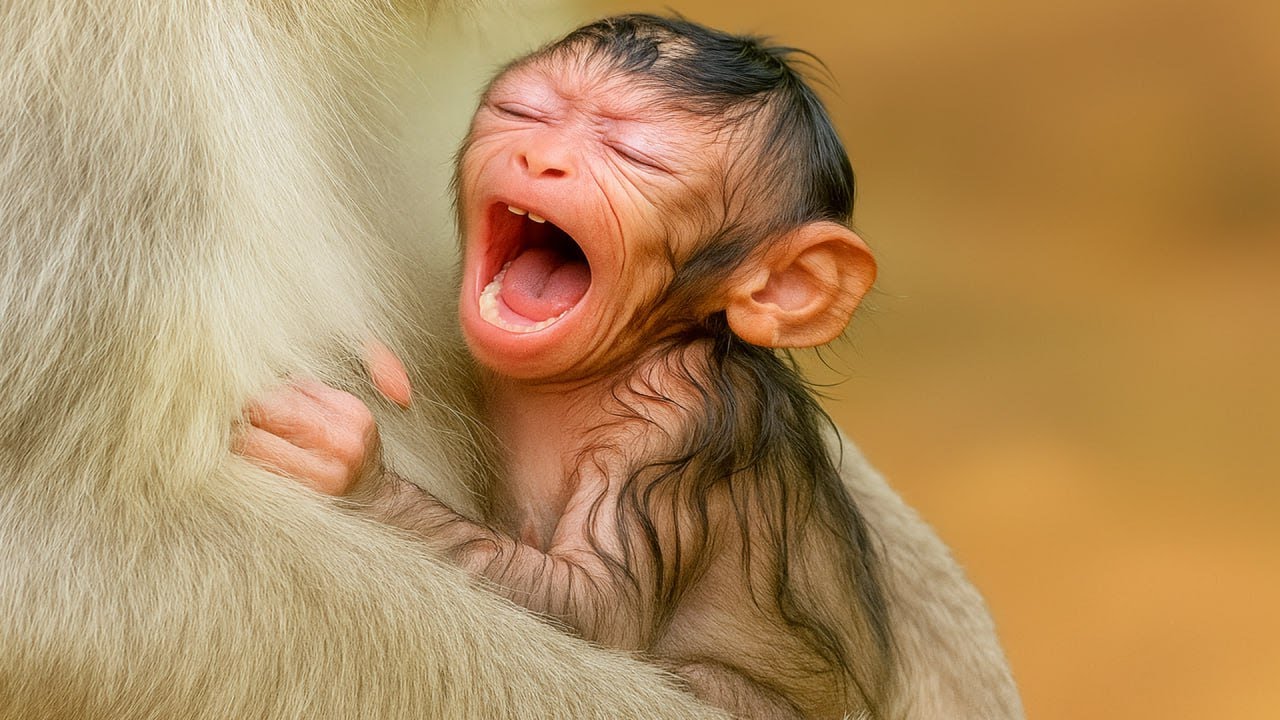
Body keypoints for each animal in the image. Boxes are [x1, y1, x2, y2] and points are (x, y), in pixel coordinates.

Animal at [0, 1, 1023, 719]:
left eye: (635, 154)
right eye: (527, 108)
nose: (545, 158)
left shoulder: (664, 419)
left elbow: (596, 600)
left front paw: (350, 465)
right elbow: (77, 537)